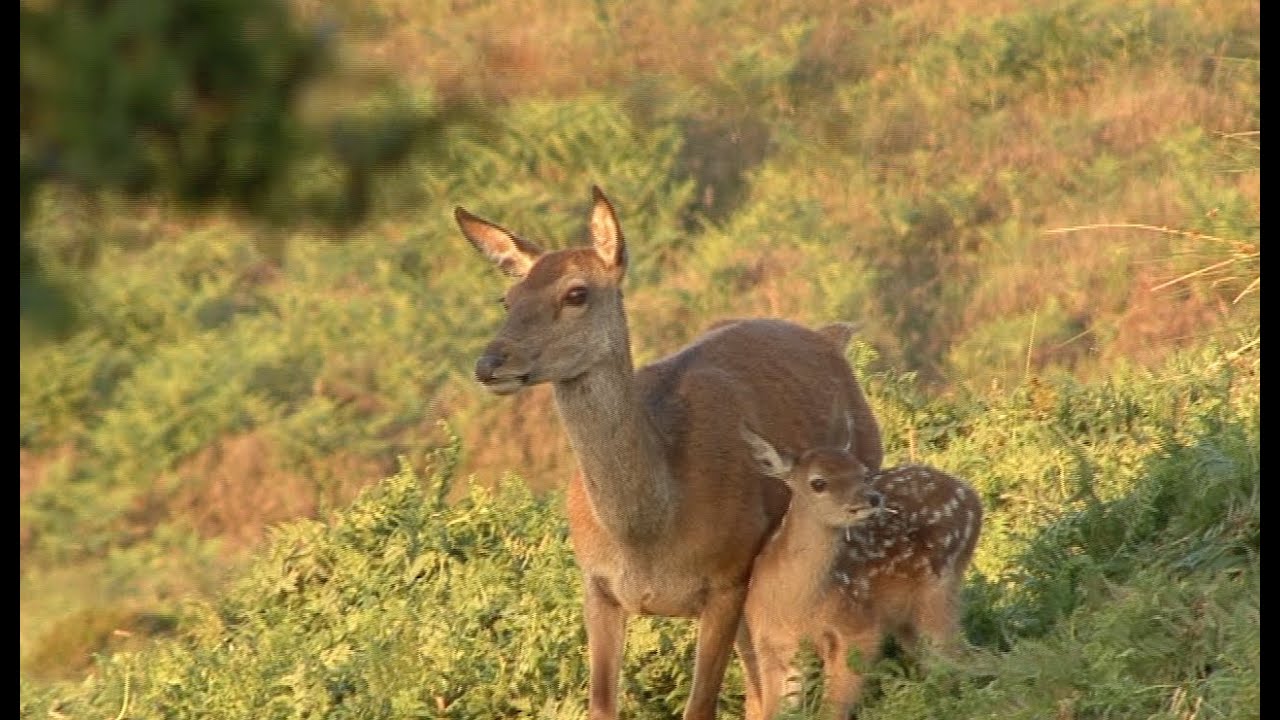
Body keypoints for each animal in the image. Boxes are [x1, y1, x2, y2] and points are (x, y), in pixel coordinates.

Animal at [453, 186, 884, 720]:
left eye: (576, 293)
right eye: (507, 298)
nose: (489, 363)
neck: (652, 532)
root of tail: (831, 337)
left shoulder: (728, 580)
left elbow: (702, 706)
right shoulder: (596, 585)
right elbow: (602, 706)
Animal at [740, 410, 983, 720]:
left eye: (862, 472)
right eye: (818, 482)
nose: (872, 498)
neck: (796, 606)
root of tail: (970, 493)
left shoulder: (858, 625)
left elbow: (833, 709)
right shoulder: (770, 642)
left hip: (940, 587)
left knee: (959, 659)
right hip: (909, 617)